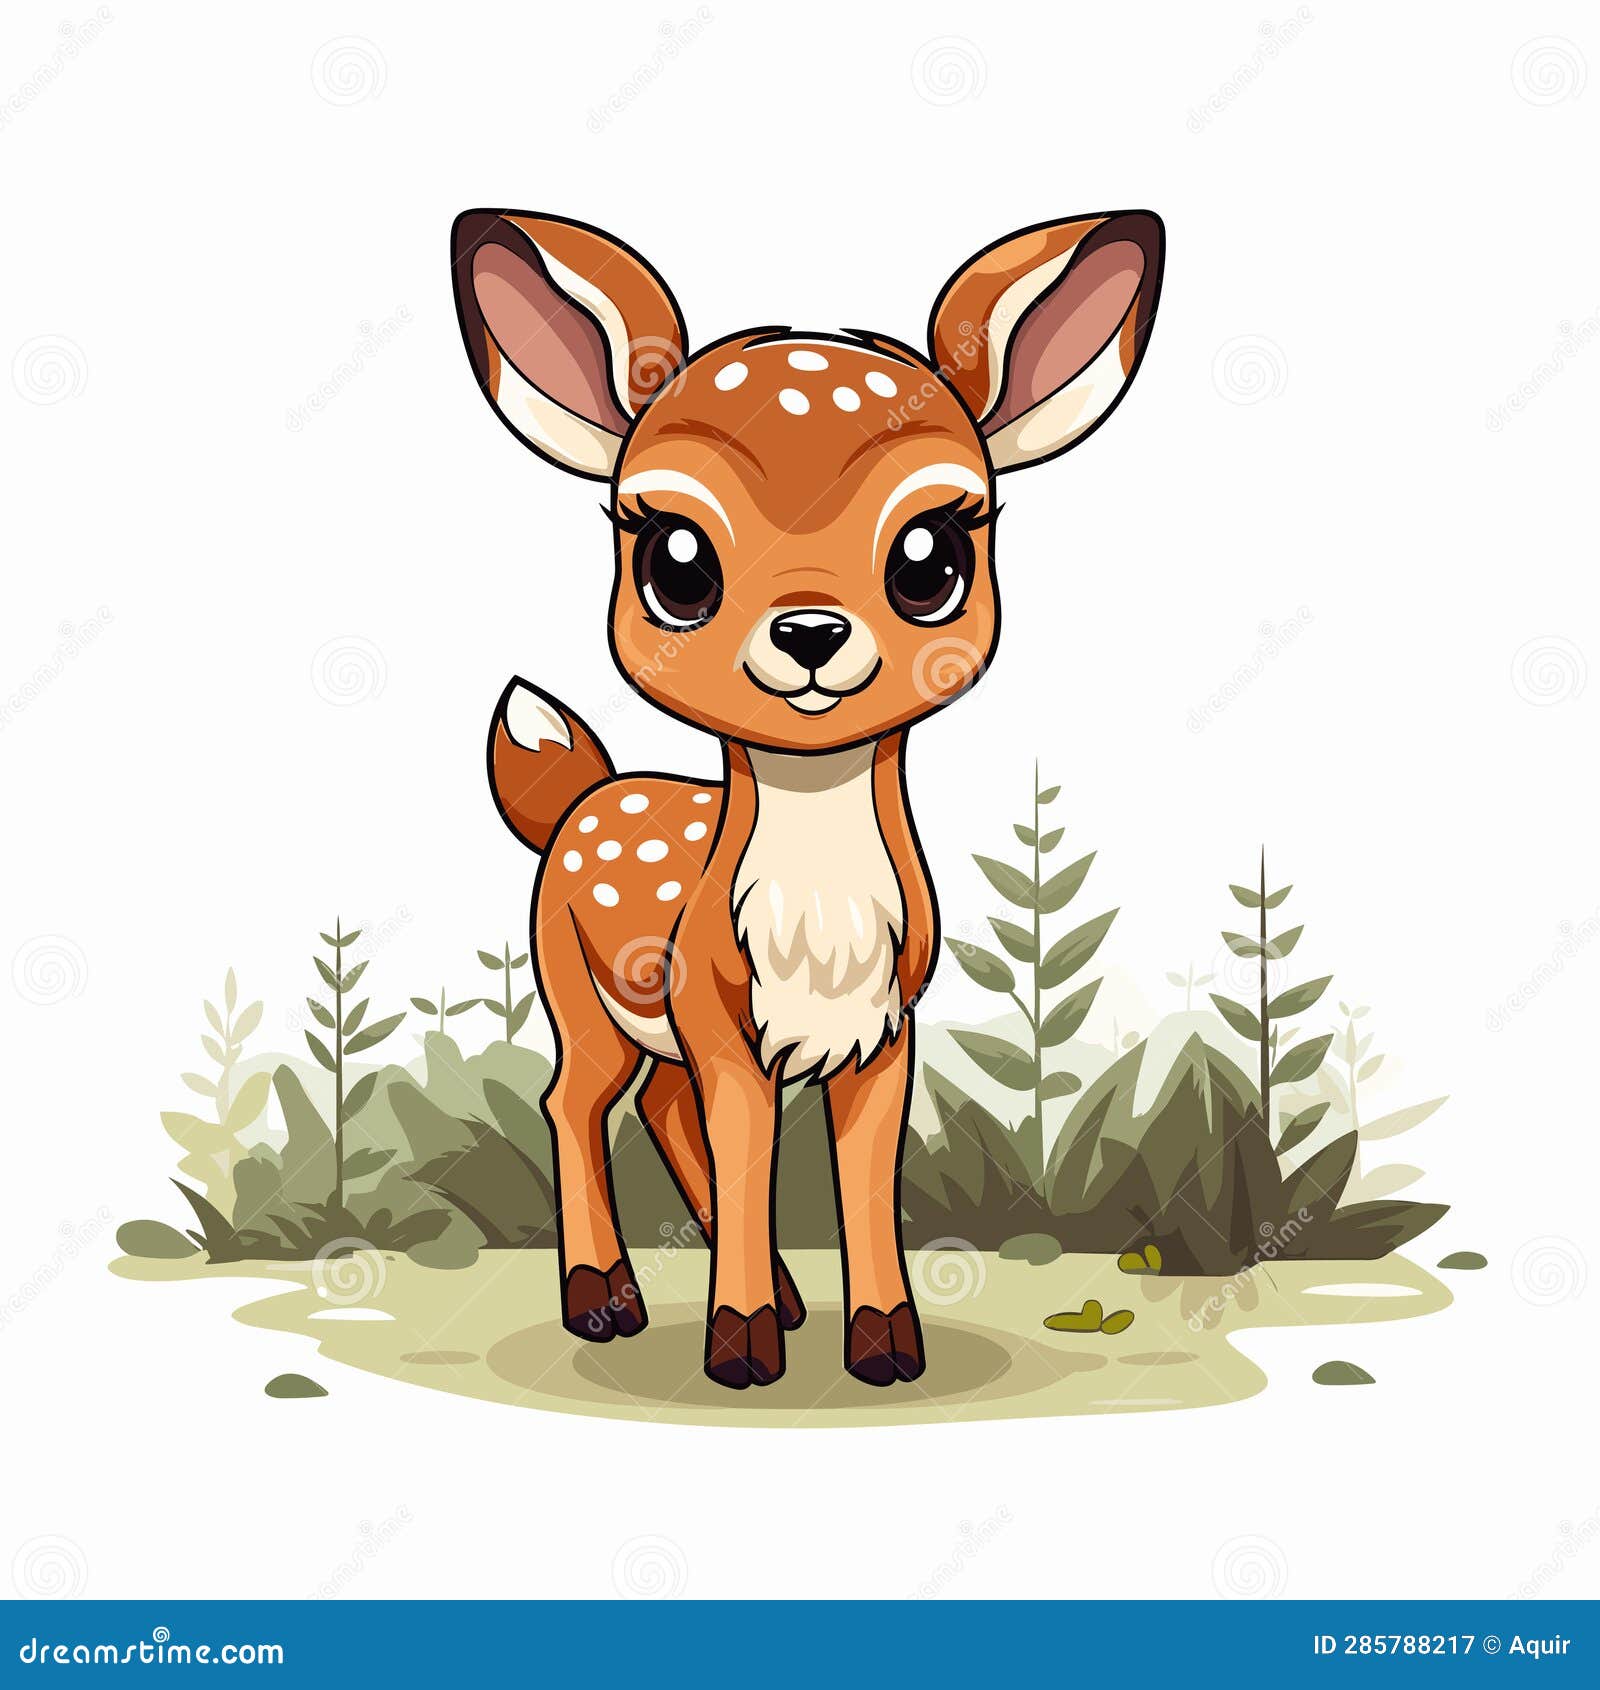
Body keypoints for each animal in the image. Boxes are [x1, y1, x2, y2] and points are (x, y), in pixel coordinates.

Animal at [450, 207, 1164, 1389]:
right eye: (675, 558)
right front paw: (737, 1350)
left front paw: (882, 1343)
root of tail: (582, 792)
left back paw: (779, 1297)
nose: (811, 631)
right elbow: (750, 1148)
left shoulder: (886, 1026)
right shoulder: (719, 1015)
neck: (818, 920)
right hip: (575, 983)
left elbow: (863, 1176)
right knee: (576, 1100)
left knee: (657, 1104)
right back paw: (604, 1301)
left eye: (931, 552)